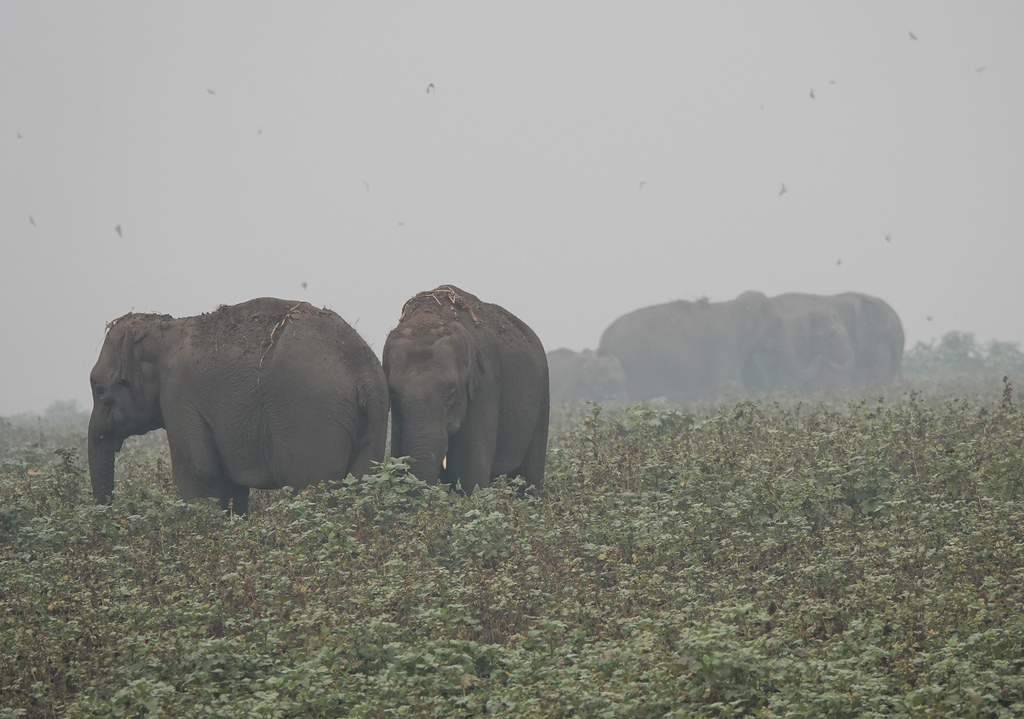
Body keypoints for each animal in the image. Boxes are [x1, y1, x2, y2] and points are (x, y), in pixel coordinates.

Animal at [88, 298, 389, 514]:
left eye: (99, 389)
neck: (164, 330)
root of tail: (362, 369)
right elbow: (230, 487)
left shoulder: (178, 396)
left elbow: (197, 477)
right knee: (361, 483)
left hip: (312, 418)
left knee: (312, 490)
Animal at [383, 285, 549, 493]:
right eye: (394, 396)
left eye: (451, 394)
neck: (430, 317)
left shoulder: (485, 385)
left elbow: (471, 477)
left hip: (543, 396)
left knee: (529, 478)